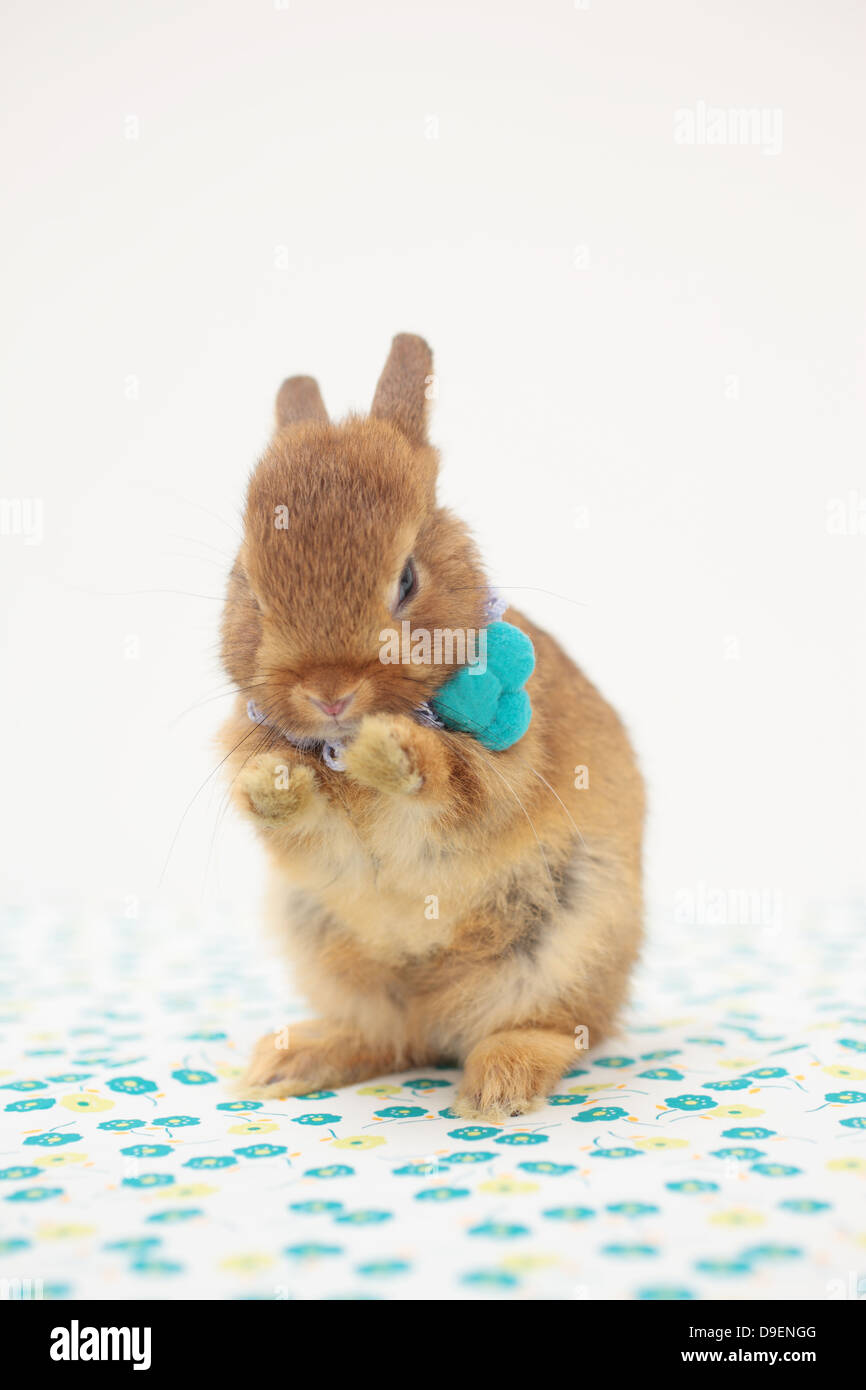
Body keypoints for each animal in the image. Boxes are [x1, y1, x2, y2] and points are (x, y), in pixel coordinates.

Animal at [219, 333, 645, 1120]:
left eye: (407, 580)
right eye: (251, 590)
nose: (330, 693)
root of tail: (437, 1023)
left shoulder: (499, 773)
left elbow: (447, 782)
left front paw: (387, 752)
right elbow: (295, 814)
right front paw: (272, 779)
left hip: (568, 944)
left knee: (552, 1030)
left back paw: (496, 1087)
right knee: (388, 1039)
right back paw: (288, 1061)